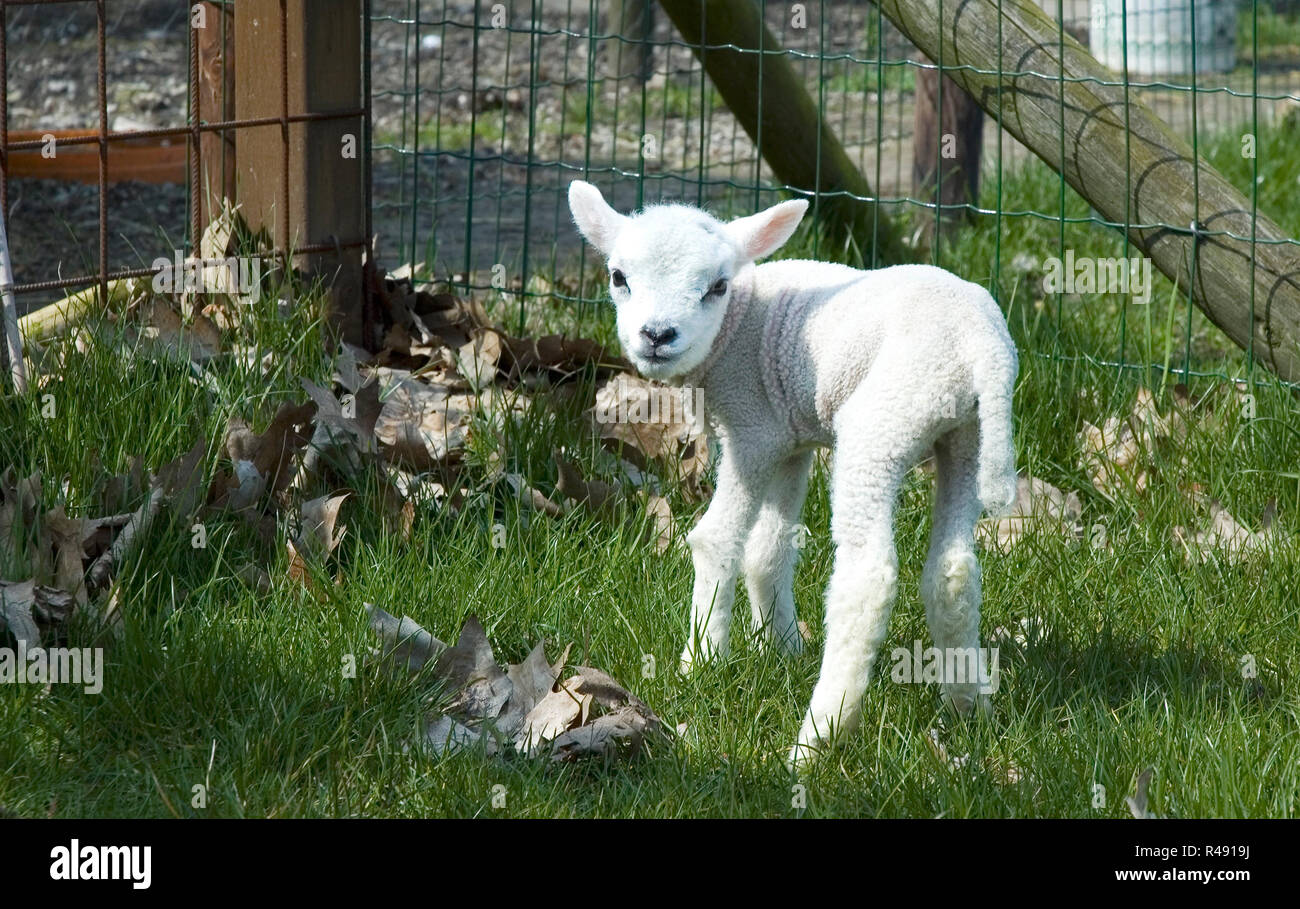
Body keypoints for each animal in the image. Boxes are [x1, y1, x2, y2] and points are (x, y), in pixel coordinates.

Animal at [567, 180, 1018, 767]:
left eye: (717, 286)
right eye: (619, 277)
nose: (657, 335)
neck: (741, 321)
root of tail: (982, 348)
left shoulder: (753, 432)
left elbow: (719, 540)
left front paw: (702, 660)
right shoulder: (790, 436)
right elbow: (770, 548)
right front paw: (781, 649)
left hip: (881, 426)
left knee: (868, 578)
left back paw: (818, 737)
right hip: (966, 435)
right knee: (954, 570)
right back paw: (969, 706)